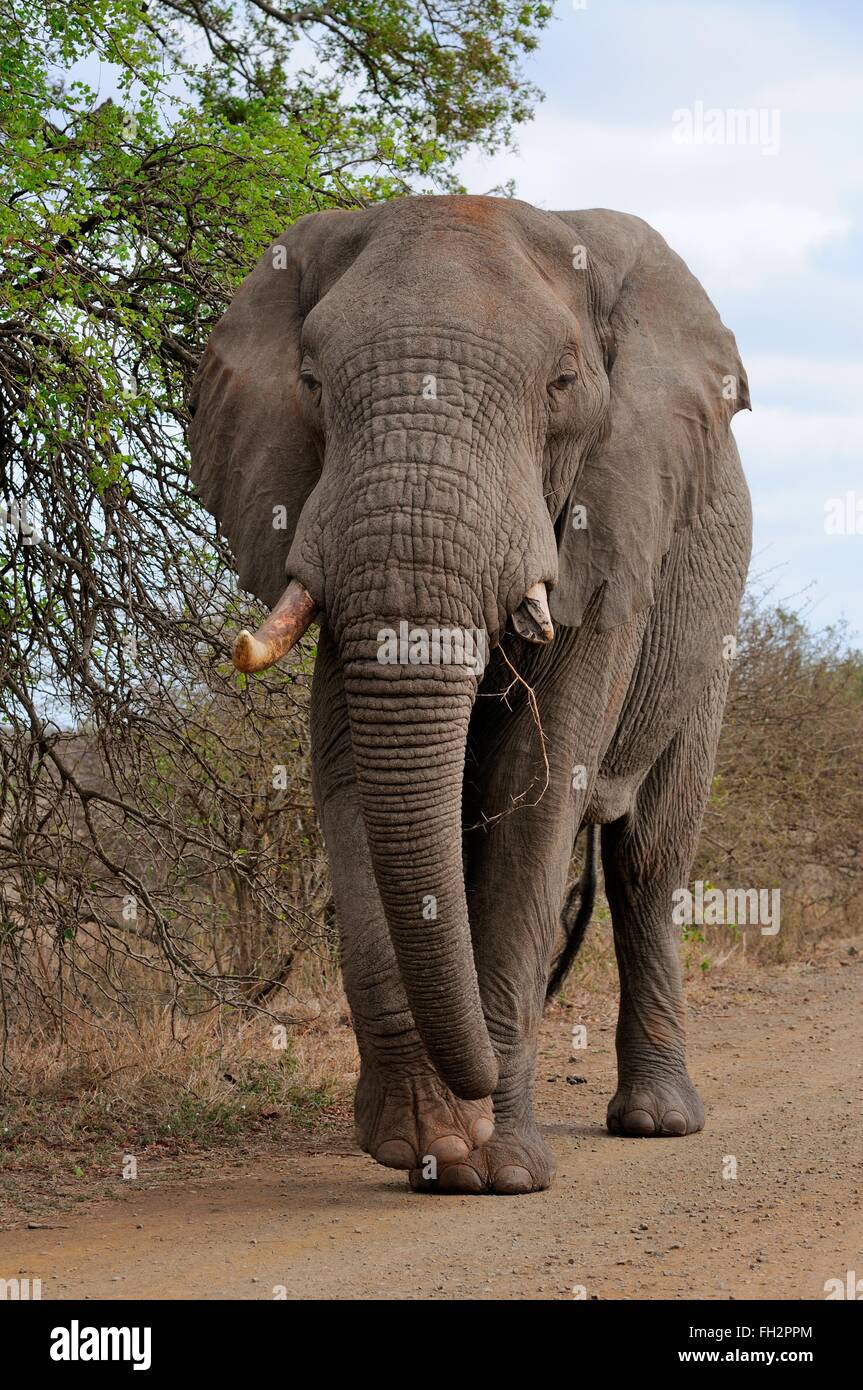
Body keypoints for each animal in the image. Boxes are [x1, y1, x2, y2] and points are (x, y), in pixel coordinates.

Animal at [188, 195, 751, 1195]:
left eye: (562, 384)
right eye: (310, 383)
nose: (479, 1085)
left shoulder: (612, 527)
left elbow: (536, 784)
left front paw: (500, 1167)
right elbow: (347, 774)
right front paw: (430, 1147)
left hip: (707, 628)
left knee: (647, 860)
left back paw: (655, 1123)